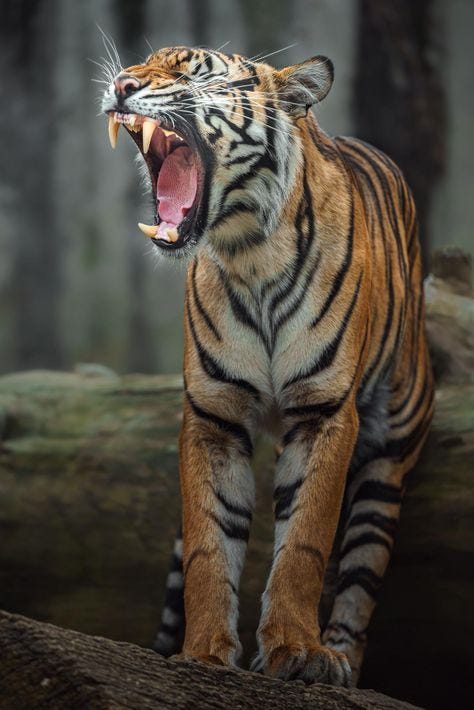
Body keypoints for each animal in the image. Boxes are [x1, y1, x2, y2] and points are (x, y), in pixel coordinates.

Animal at [101, 45, 434, 687]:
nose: (122, 84)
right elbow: (209, 546)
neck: (247, 249)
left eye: (193, 73)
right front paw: (204, 654)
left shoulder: (325, 412)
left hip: (391, 454)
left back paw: (341, 661)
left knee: (361, 573)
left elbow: (304, 541)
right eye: (143, 63)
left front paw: (298, 651)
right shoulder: (213, 417)